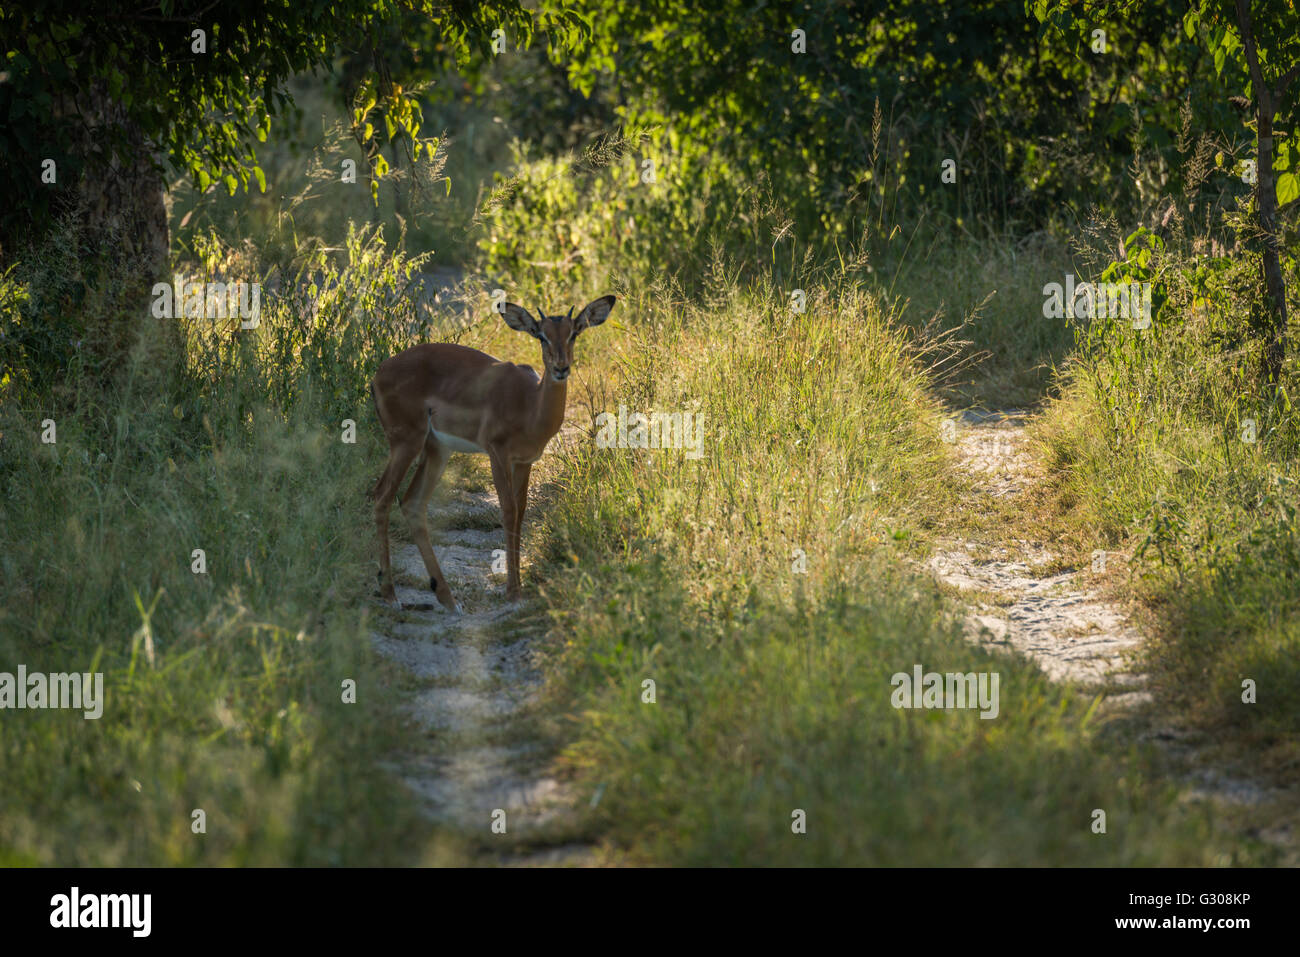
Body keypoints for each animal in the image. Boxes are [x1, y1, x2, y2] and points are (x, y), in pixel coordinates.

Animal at [369, 295, 616, 611]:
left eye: (574, 333)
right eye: (541, 335)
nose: (561, 368)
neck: (530, 404)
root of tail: (378, 373)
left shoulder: (524, 462)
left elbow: (521, 512)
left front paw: (518, 588)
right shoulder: (497, 454)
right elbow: (508, 511)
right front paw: (513, 592)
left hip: (437, 449)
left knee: (412, 503)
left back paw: (447, 598)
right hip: (406, 442)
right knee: (382, 496)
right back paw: (390, 594)